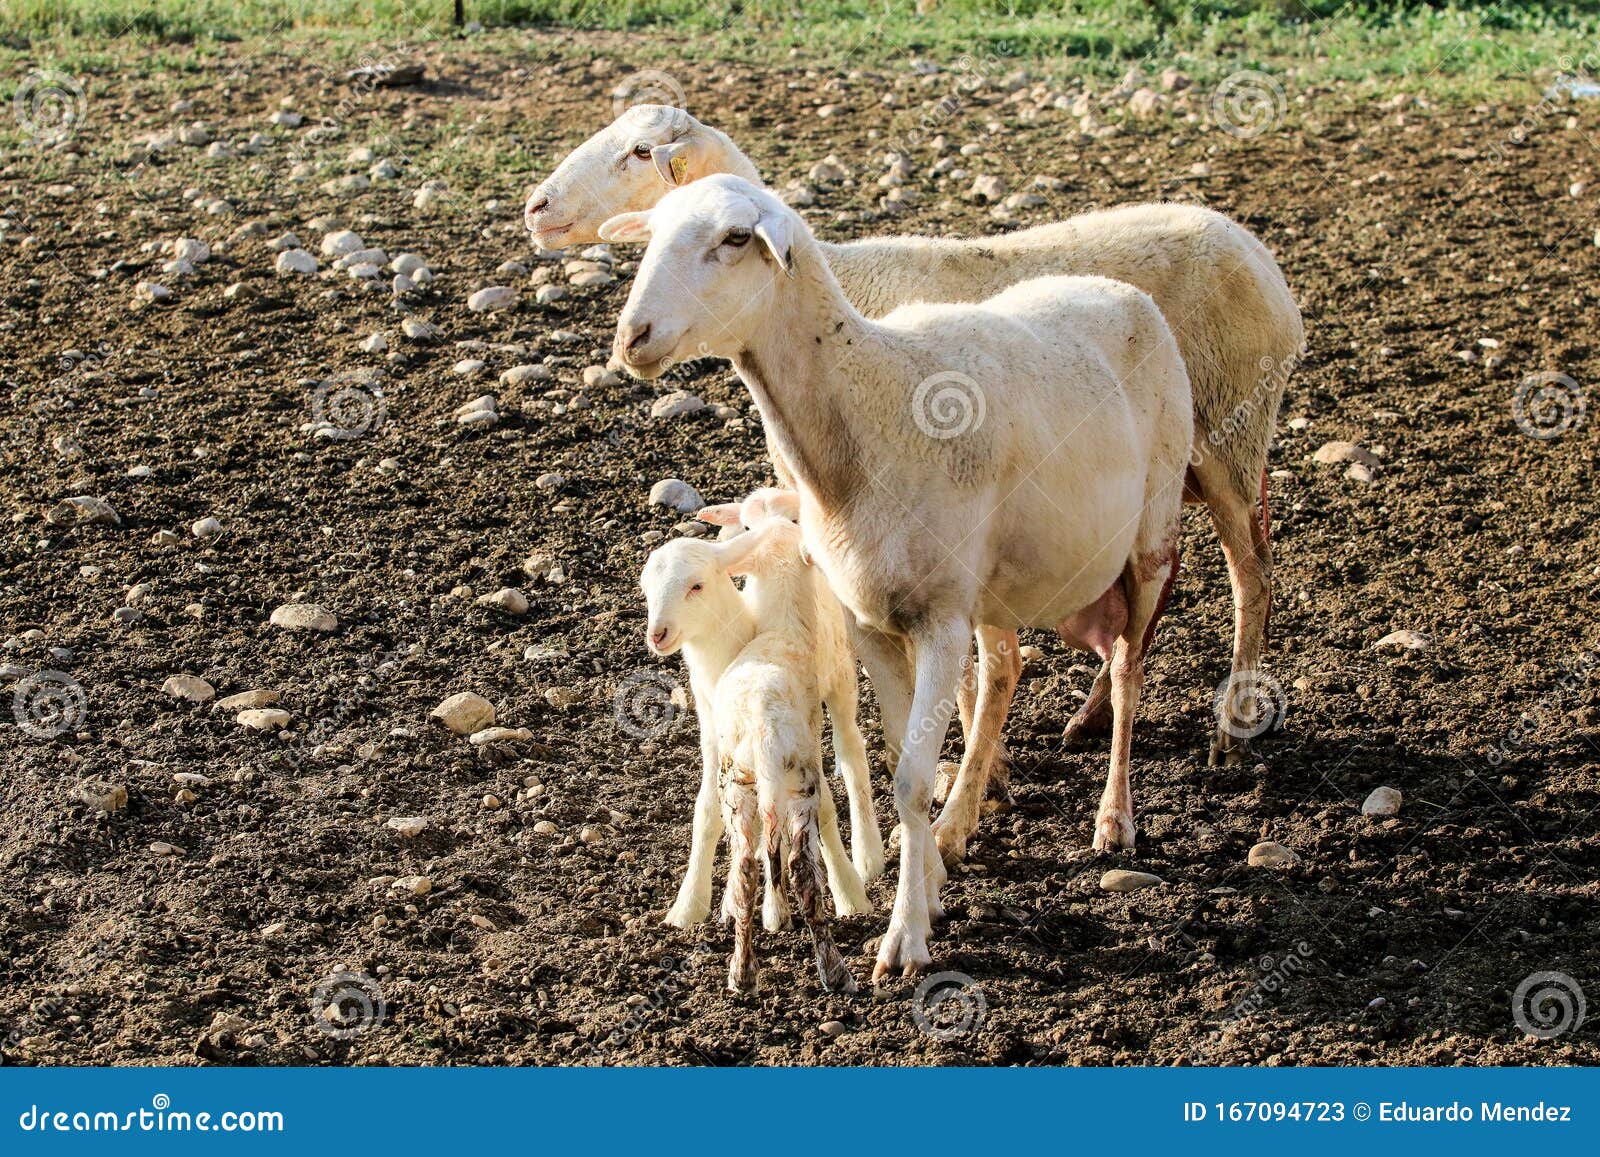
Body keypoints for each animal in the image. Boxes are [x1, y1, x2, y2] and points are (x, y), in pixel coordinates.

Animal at [529, 107, 1301, 833]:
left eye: (639, 151)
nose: (535, 207)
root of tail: (1264, 261)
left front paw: (975, 784)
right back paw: (1089, 717)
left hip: (1225, 444)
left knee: (1247, 579)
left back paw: (1222, 728)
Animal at [642, 497, 861, 993]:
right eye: (646, 590)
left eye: (696, 585)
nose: (657, 634)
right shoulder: (713, 731)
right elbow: (708, 813)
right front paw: (694, 905)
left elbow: (820, 813)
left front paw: (838, 893)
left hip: (840, 680)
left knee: (853, 761)